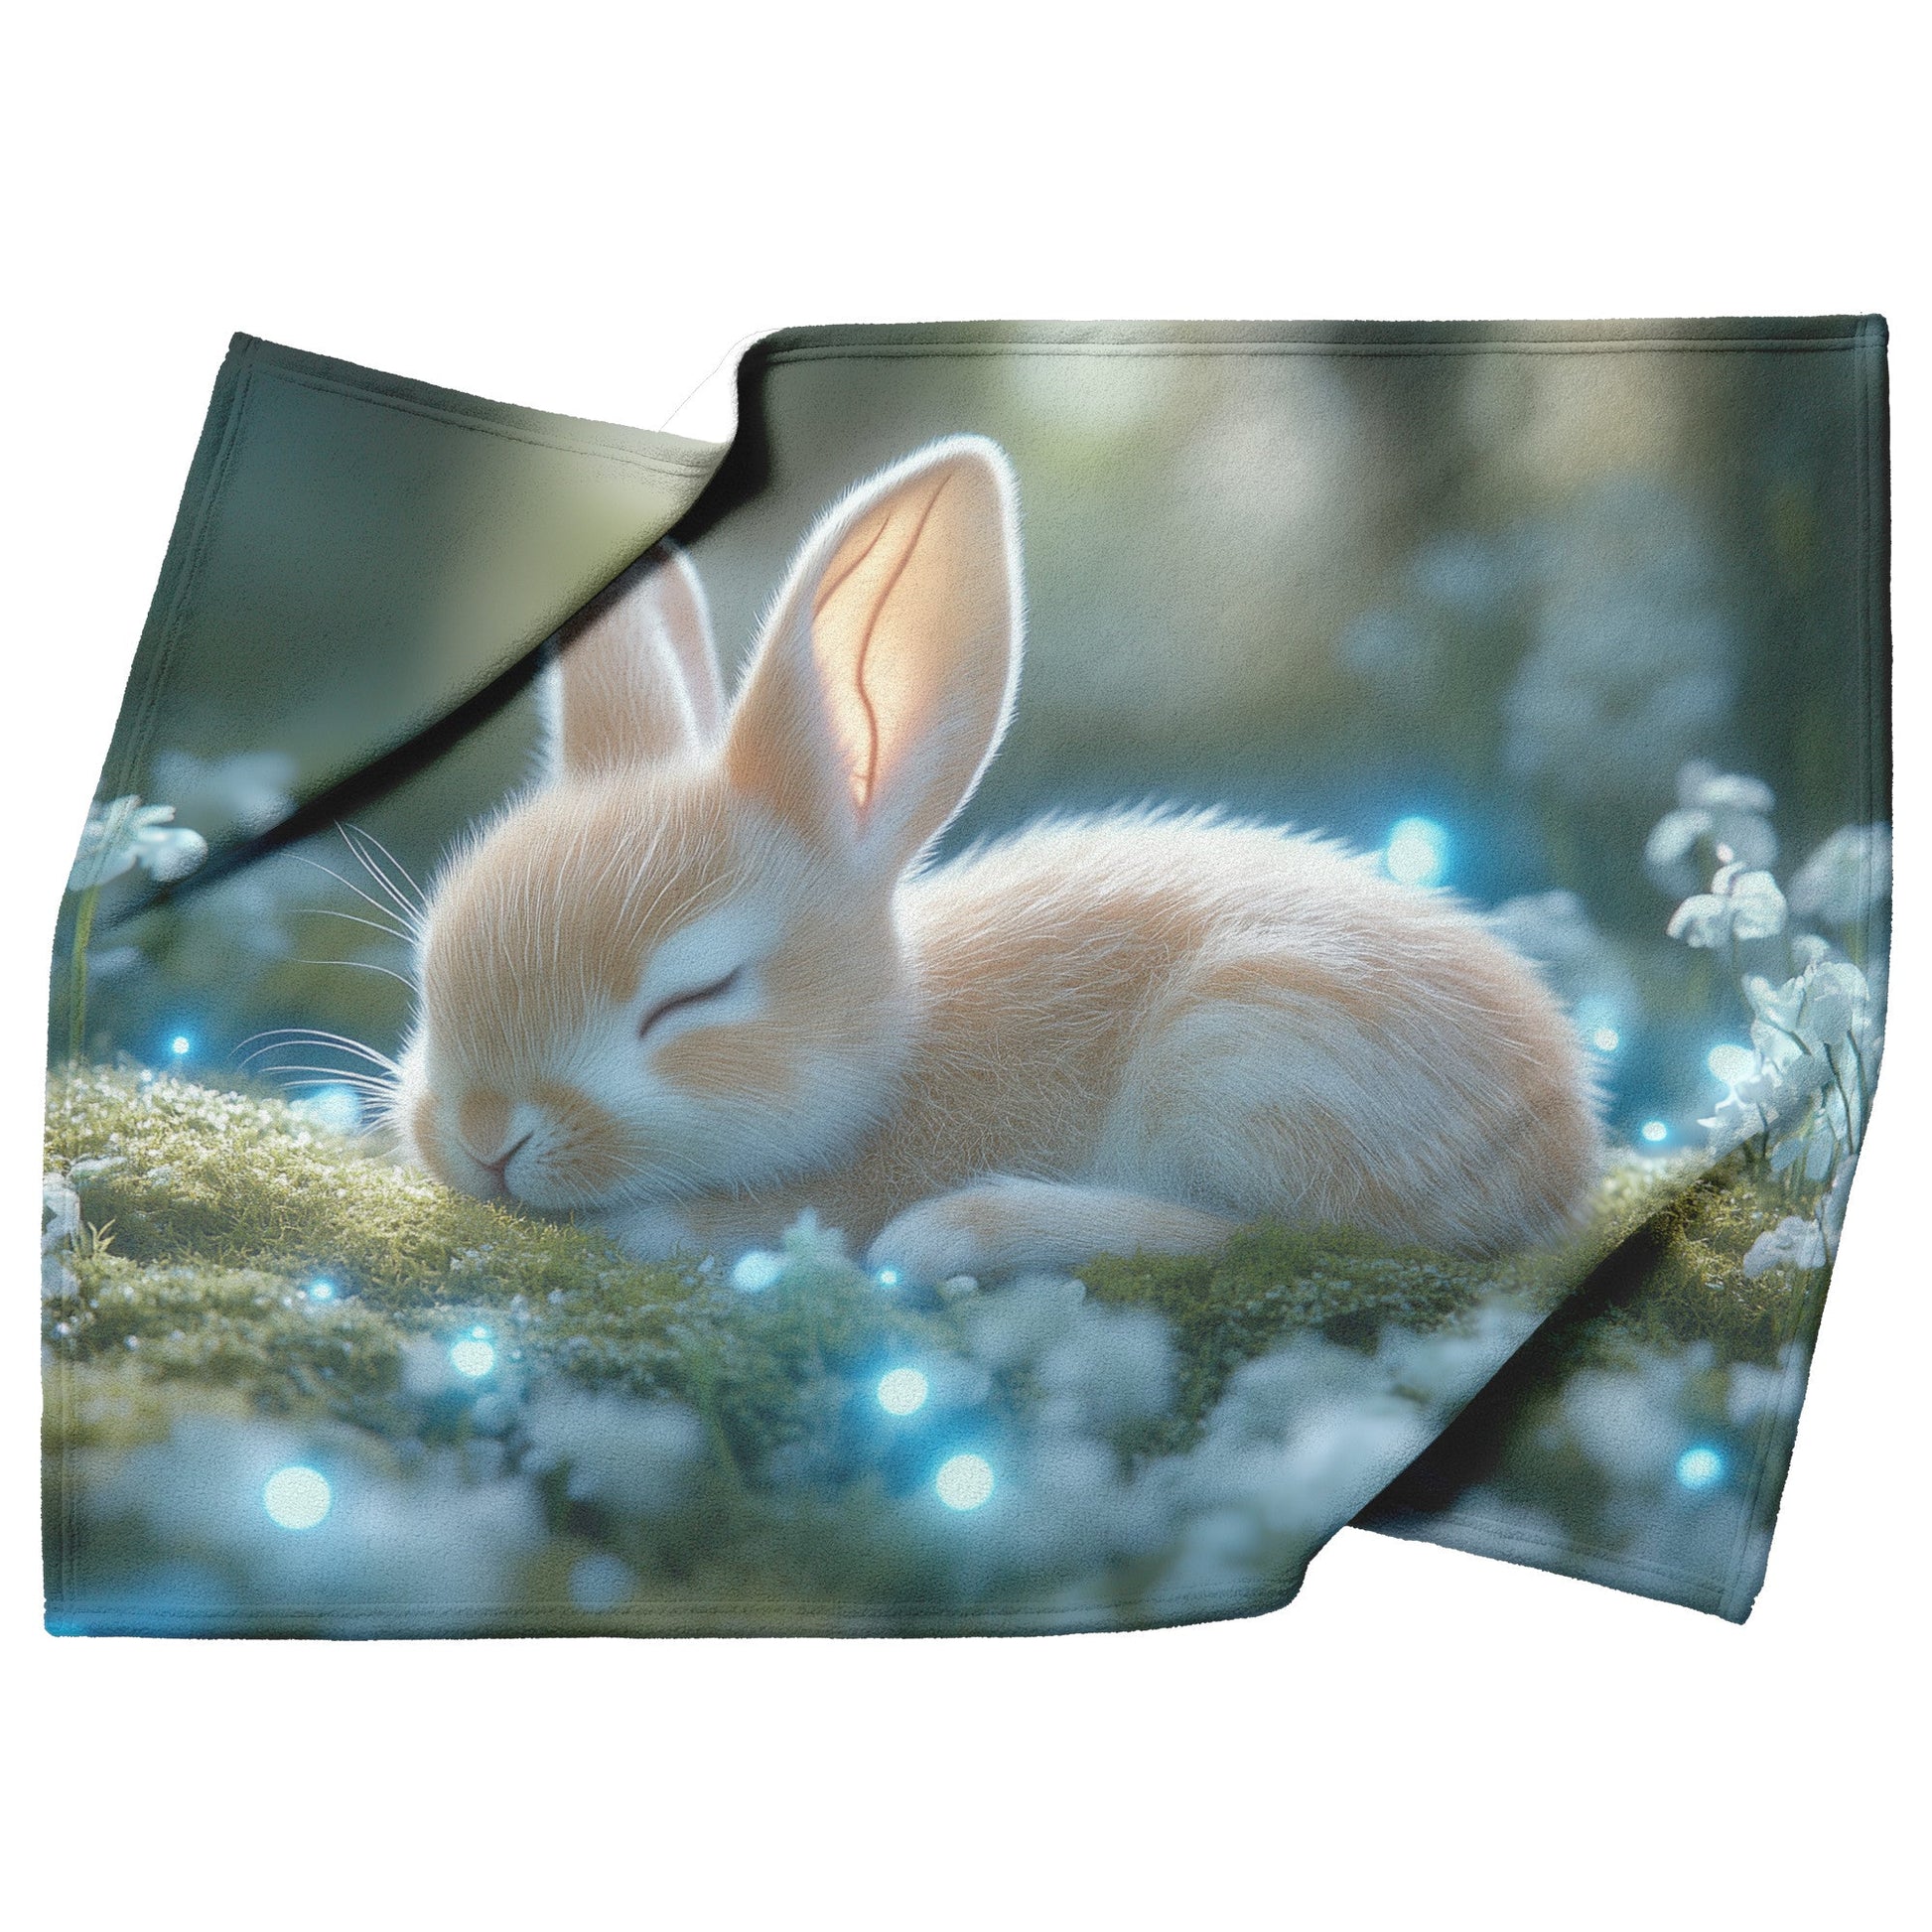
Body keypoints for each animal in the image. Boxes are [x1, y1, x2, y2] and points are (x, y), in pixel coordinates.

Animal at [396, 436, 1602, 1281]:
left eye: (695, 995)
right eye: (427, 973)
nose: (485, 1134)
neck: (895, 1052)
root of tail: (1561, 1141)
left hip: (1248, 1039)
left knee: (1297, 1235)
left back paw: (961, 1232)